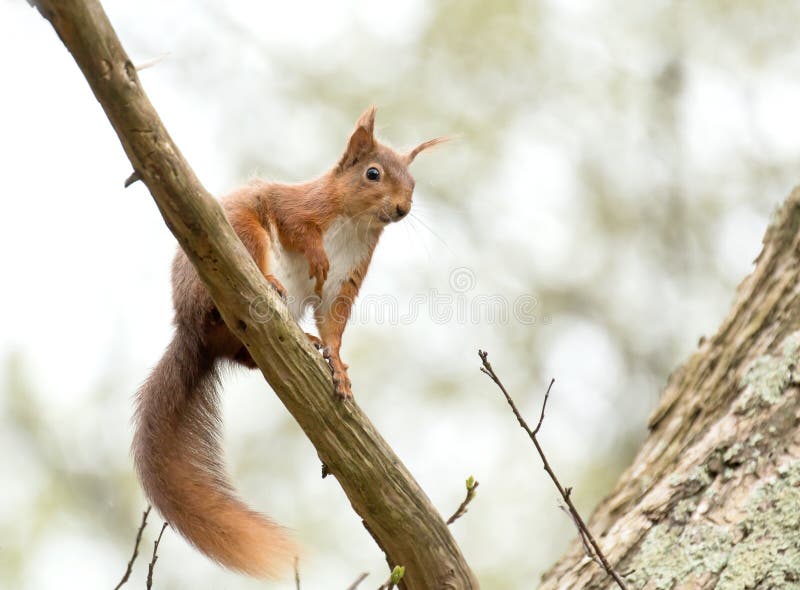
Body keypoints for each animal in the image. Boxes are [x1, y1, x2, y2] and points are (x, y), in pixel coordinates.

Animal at [132, 107, 444, 579]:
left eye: (413, 183)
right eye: (372, 173)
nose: (402, 209)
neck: (354, 222)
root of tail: (190, 332)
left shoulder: (347, 279)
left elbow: (334, 324)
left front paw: (337, 365)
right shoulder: (296, 204)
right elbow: (296, 224)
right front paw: (315, 252)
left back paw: (306, 341)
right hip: (241, 236)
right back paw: (268, 284)